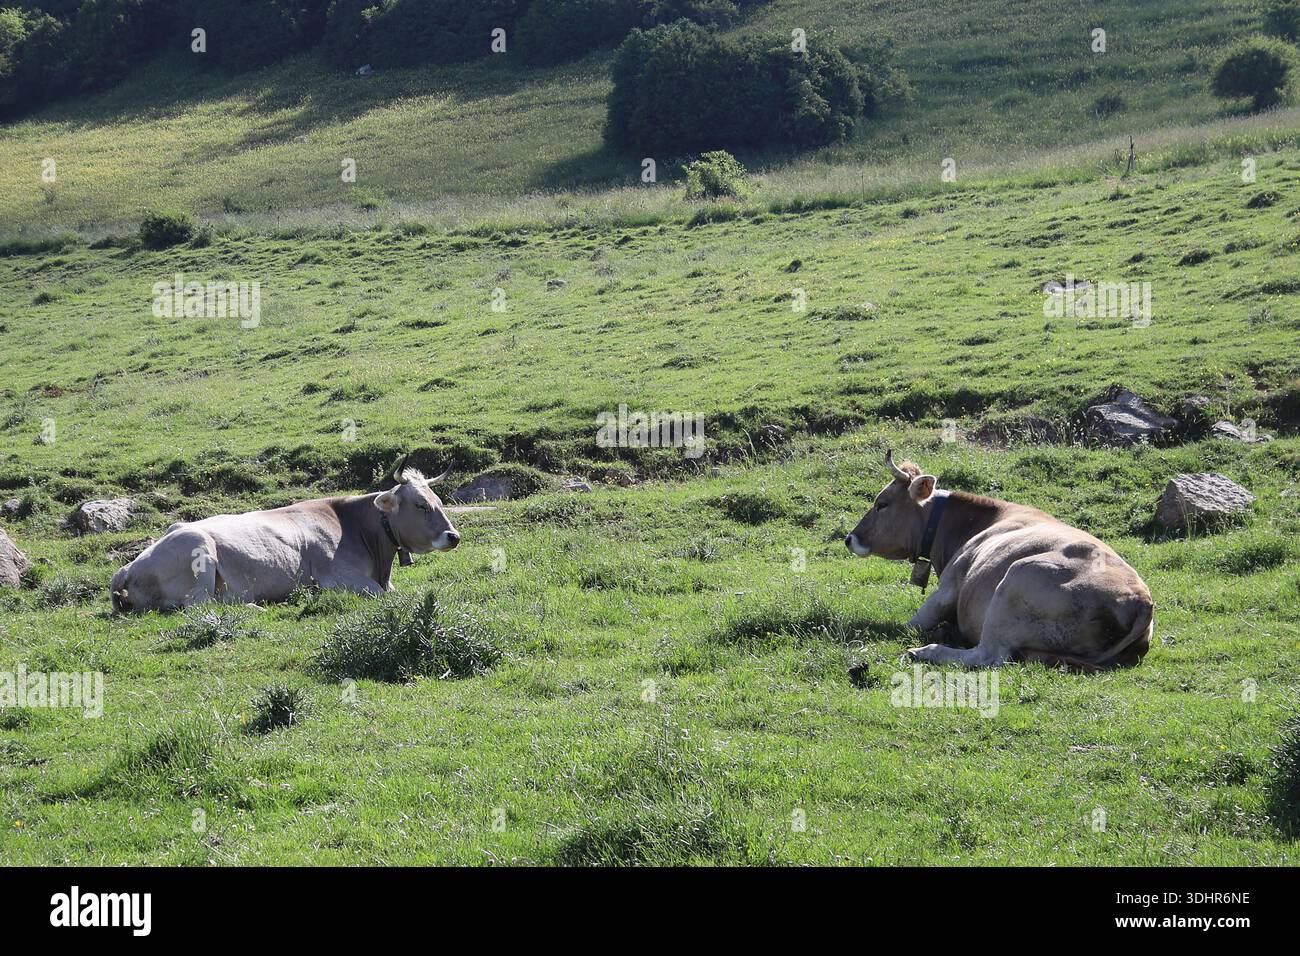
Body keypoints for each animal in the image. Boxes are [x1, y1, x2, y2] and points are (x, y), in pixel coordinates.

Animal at [110, 467, 459, 613]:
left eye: (439, 501)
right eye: (420, 504)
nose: (453, 536)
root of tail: (126, 569)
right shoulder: (337, 577)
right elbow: (380, 594)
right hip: (198, 549)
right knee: (199, 605)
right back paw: (252, 606)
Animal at [845, 450, 1153, 670]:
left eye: (881, 504)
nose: (850, 538)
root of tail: (1140, 600)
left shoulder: (948, 589)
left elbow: (910, 624)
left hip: (1014, 582)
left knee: (987, 656)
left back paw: (926, 651)